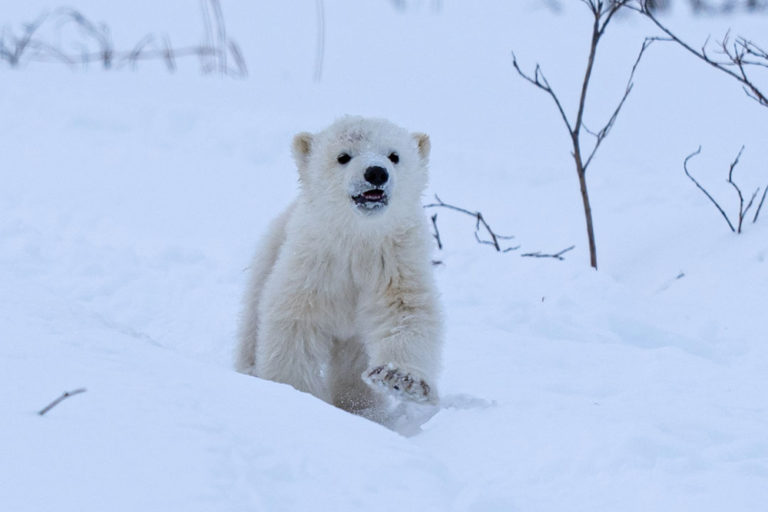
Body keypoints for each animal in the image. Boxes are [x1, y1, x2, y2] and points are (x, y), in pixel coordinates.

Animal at [235, 116, 443, 418]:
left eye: (394, 156)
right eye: (343, 157)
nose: (376, 173)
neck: (358, 237)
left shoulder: (395, 263)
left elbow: (406, 312)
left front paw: (399, 379)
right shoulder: (314, 264)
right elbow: (295, 325)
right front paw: (297, 394)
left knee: (352, 365)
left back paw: (362, 408)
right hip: (268, 256)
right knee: (252, 323)